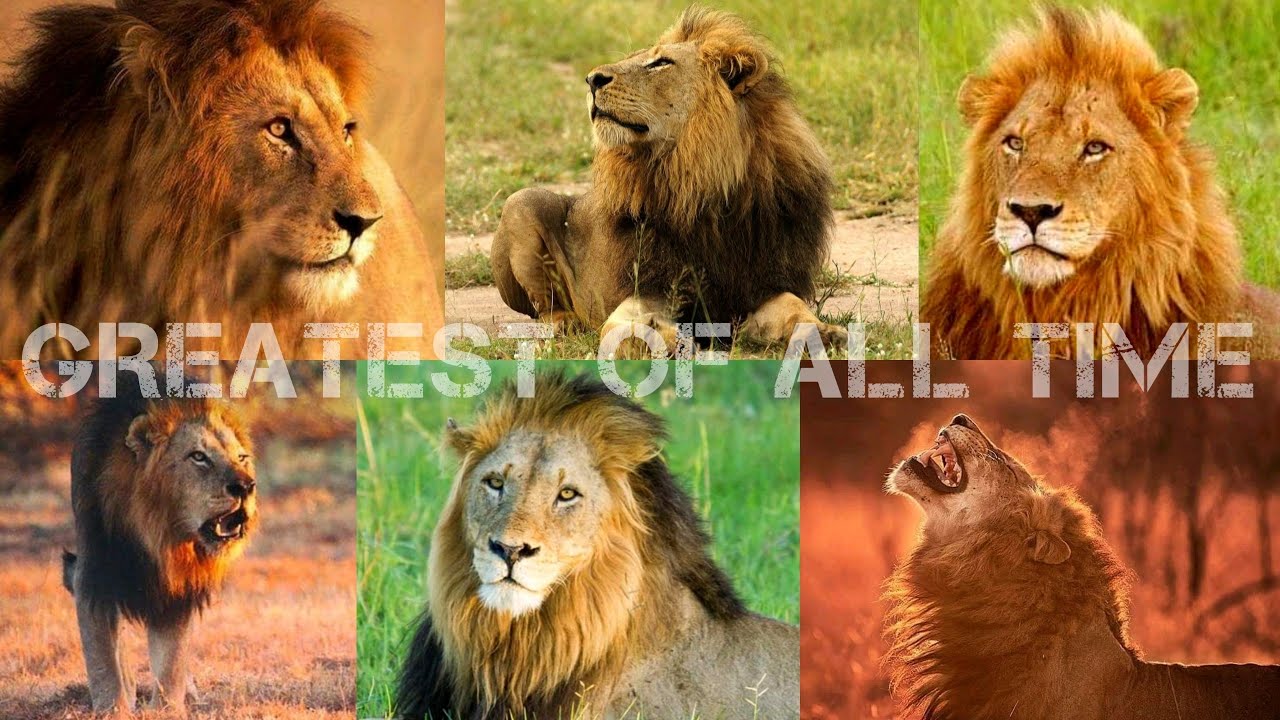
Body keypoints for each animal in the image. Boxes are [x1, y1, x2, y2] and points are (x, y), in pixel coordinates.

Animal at [63, 372, 258, 713]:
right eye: (198, 457)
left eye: (241, 458)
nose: (246, 486)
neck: (160, 537)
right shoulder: (94, 577)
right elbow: (103, 659)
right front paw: (112, 709)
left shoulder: (179, 590)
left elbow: (172, 660)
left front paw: (167, 709)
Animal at [490, 7, 844, 351]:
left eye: (660, 63)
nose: (591, 79)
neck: (697, 186)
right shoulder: (650, 285)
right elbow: (620, 324)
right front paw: (658, 338)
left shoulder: (761, 286)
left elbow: (794, 306)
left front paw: (824, 332)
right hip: (521, 203)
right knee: (545, 307)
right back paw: (566, 323)